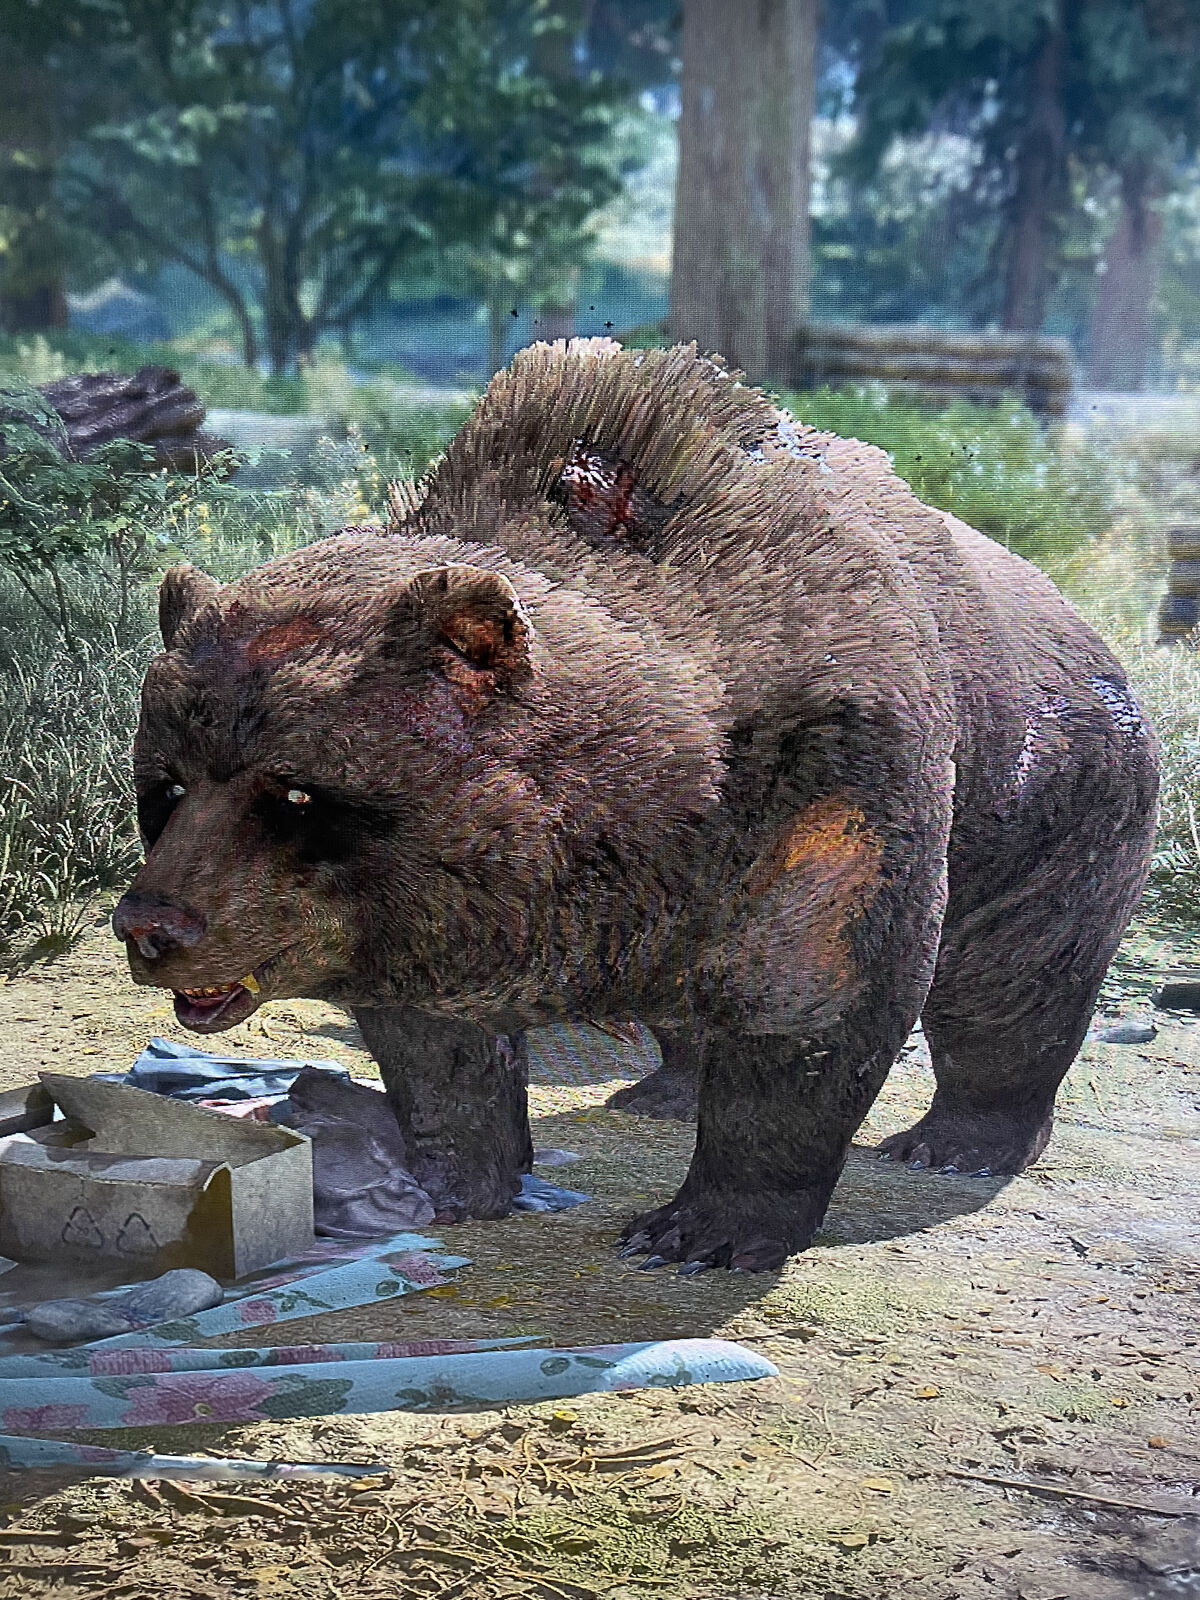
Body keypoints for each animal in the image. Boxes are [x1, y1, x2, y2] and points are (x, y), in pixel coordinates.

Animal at [113, 338, 1159, 1273]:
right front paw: (448, 1180)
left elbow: (817, 1003)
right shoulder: (422, 920)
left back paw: (959, 1140)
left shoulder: (835, 785)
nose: (152, 923)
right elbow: (435, 1046)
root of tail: (1087, 624)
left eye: (295, 790)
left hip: (1059, 803)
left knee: (1016, 986)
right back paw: (661, 1092)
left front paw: (704, 1230)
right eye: (167, 784)